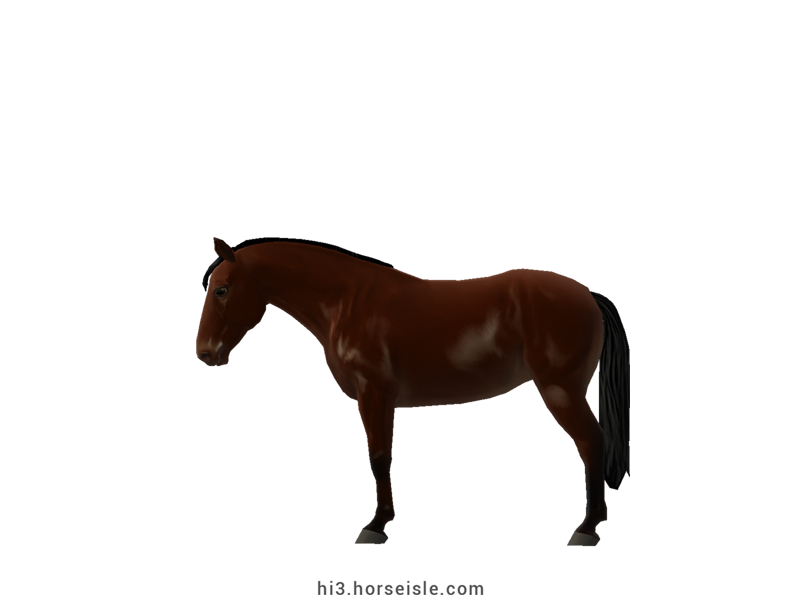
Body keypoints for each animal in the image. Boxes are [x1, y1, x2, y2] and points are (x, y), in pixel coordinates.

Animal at [197, 239, 629, 538]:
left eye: (221, 289)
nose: (205, 352)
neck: (346, 300)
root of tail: (587, 295)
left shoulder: (373, 389)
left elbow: (378, 455)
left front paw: (377, 522)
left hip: (561, 388)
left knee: (591, 442)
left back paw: (589, 526)